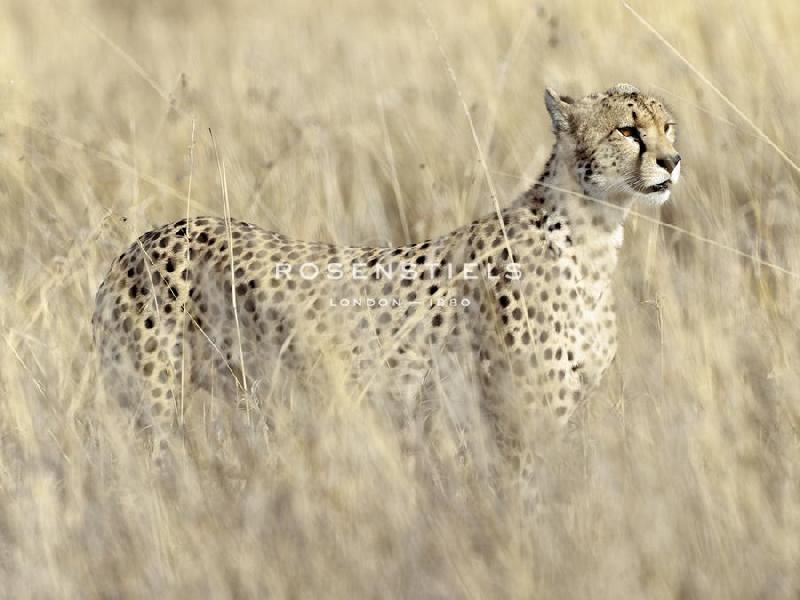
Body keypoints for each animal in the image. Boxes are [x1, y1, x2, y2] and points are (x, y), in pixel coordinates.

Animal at [92, 83, 681, 473]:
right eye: (628, 130)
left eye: (667, 126)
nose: (673, 161)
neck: (594, 229)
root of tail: (143, 240)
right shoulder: (521, 422)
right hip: (154, 410)